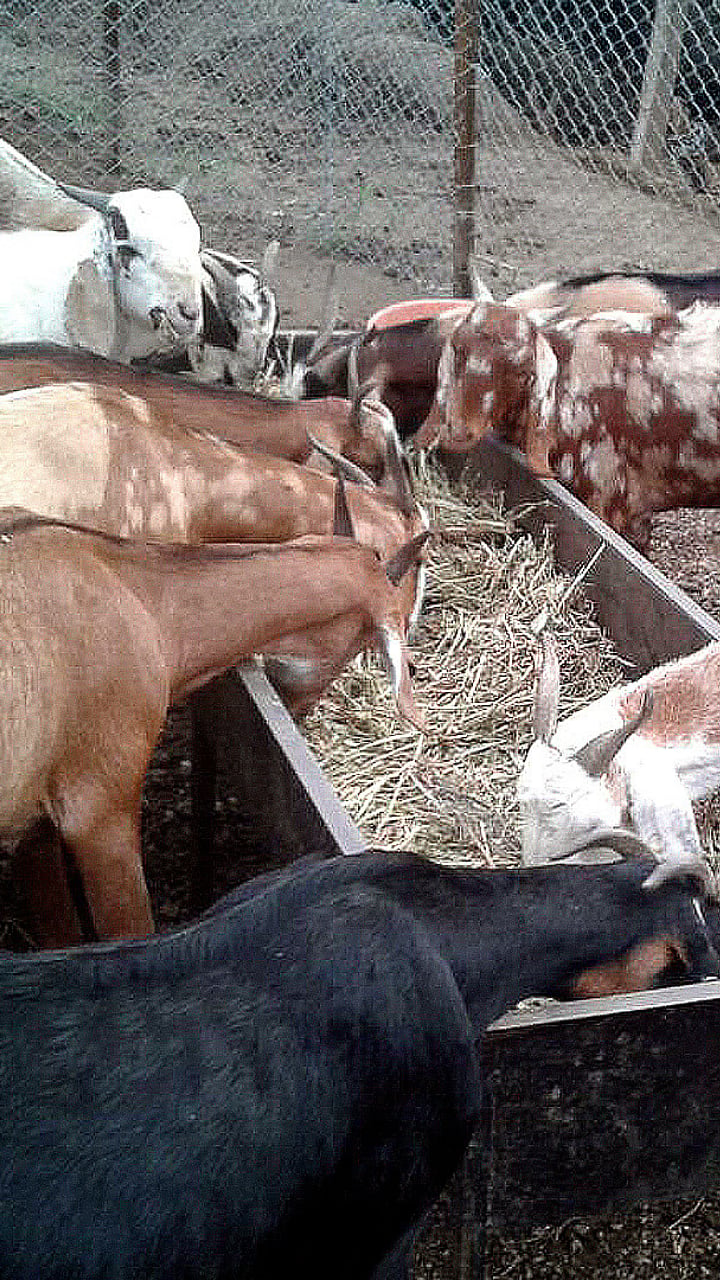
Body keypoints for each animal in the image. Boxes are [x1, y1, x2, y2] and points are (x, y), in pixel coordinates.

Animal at [0, 511, 425, 942]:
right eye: (358, 646)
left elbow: (57, 929)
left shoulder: (32, 820)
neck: (145, 603)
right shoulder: (100, 813)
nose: (298, 713)